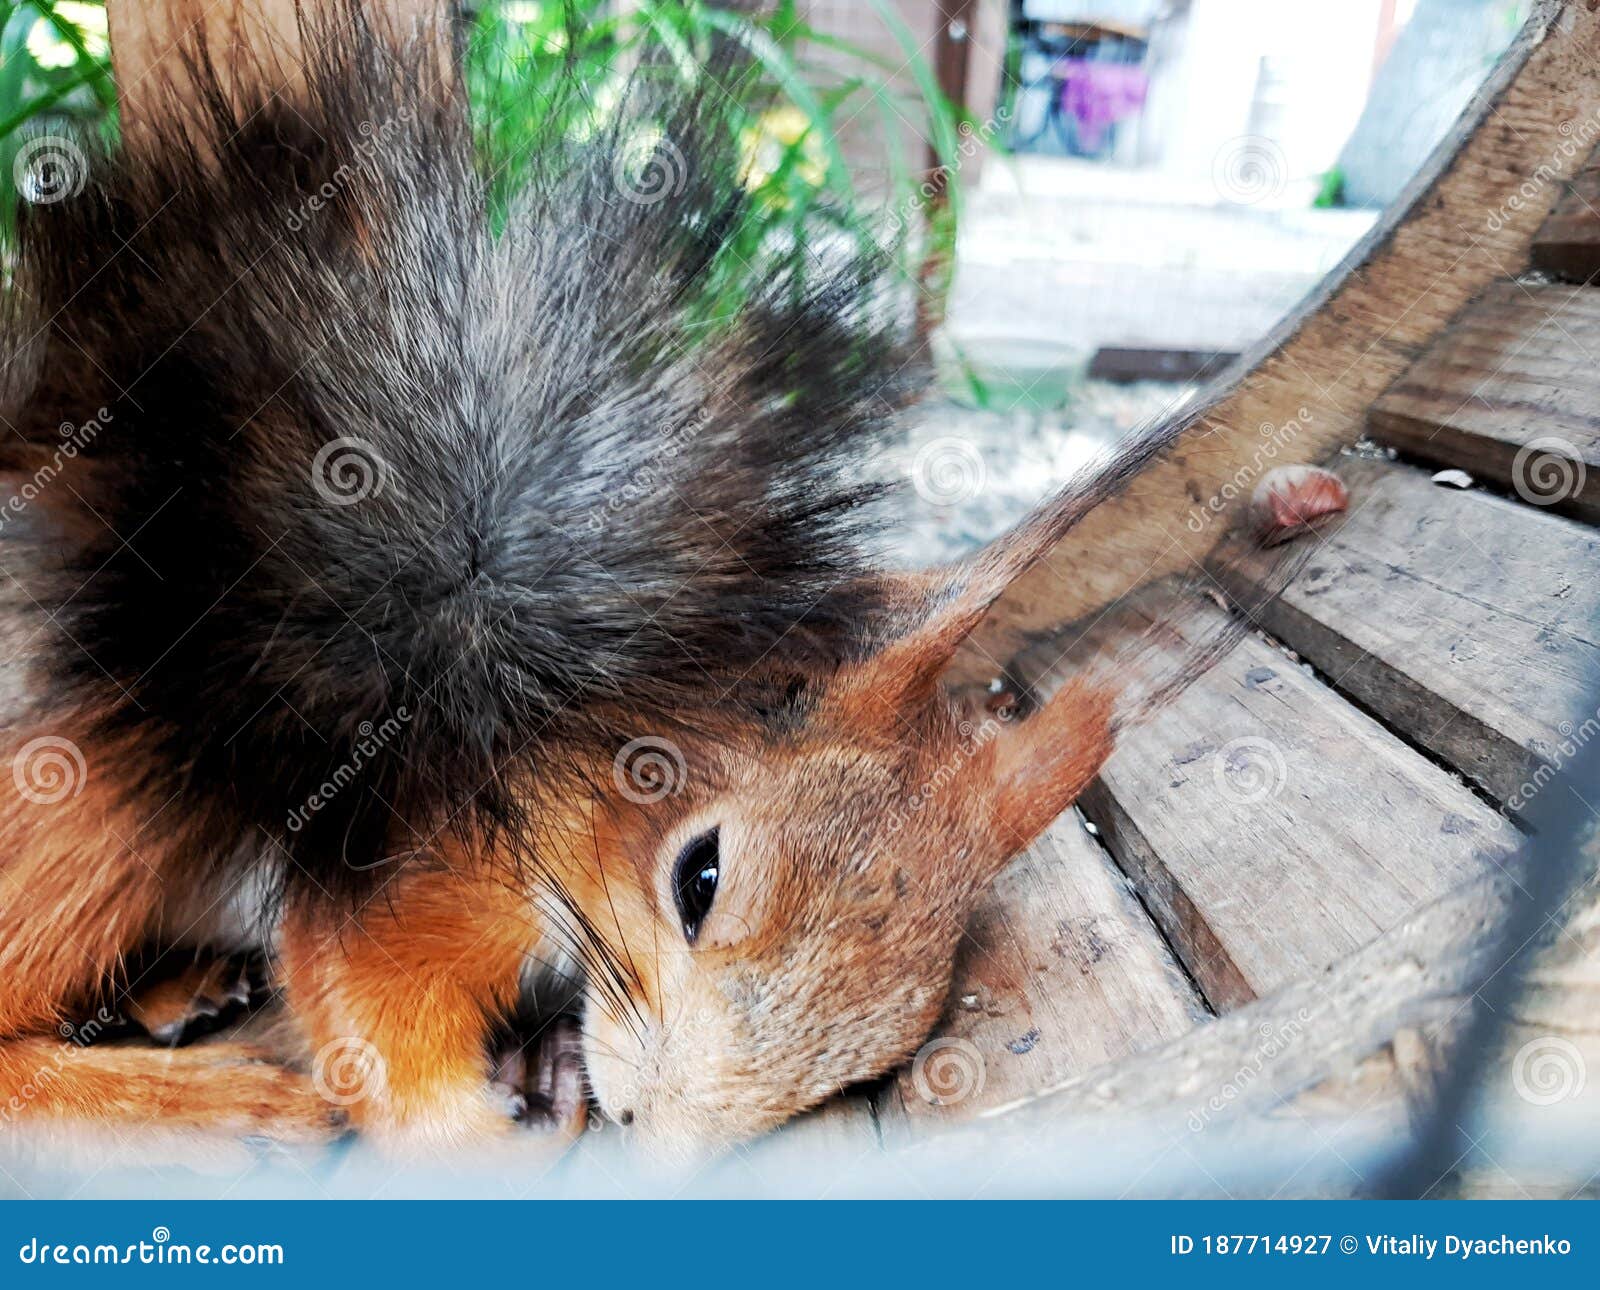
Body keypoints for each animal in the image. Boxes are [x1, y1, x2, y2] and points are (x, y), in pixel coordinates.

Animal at [0, 4, 1337, 1163]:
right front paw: (487, 1139)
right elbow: (371, 1021)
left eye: (884, 1048)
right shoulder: (401, 862)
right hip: (93, 798)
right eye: (699, 880)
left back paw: (176, 988)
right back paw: (209, 1093)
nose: (656, 1136)